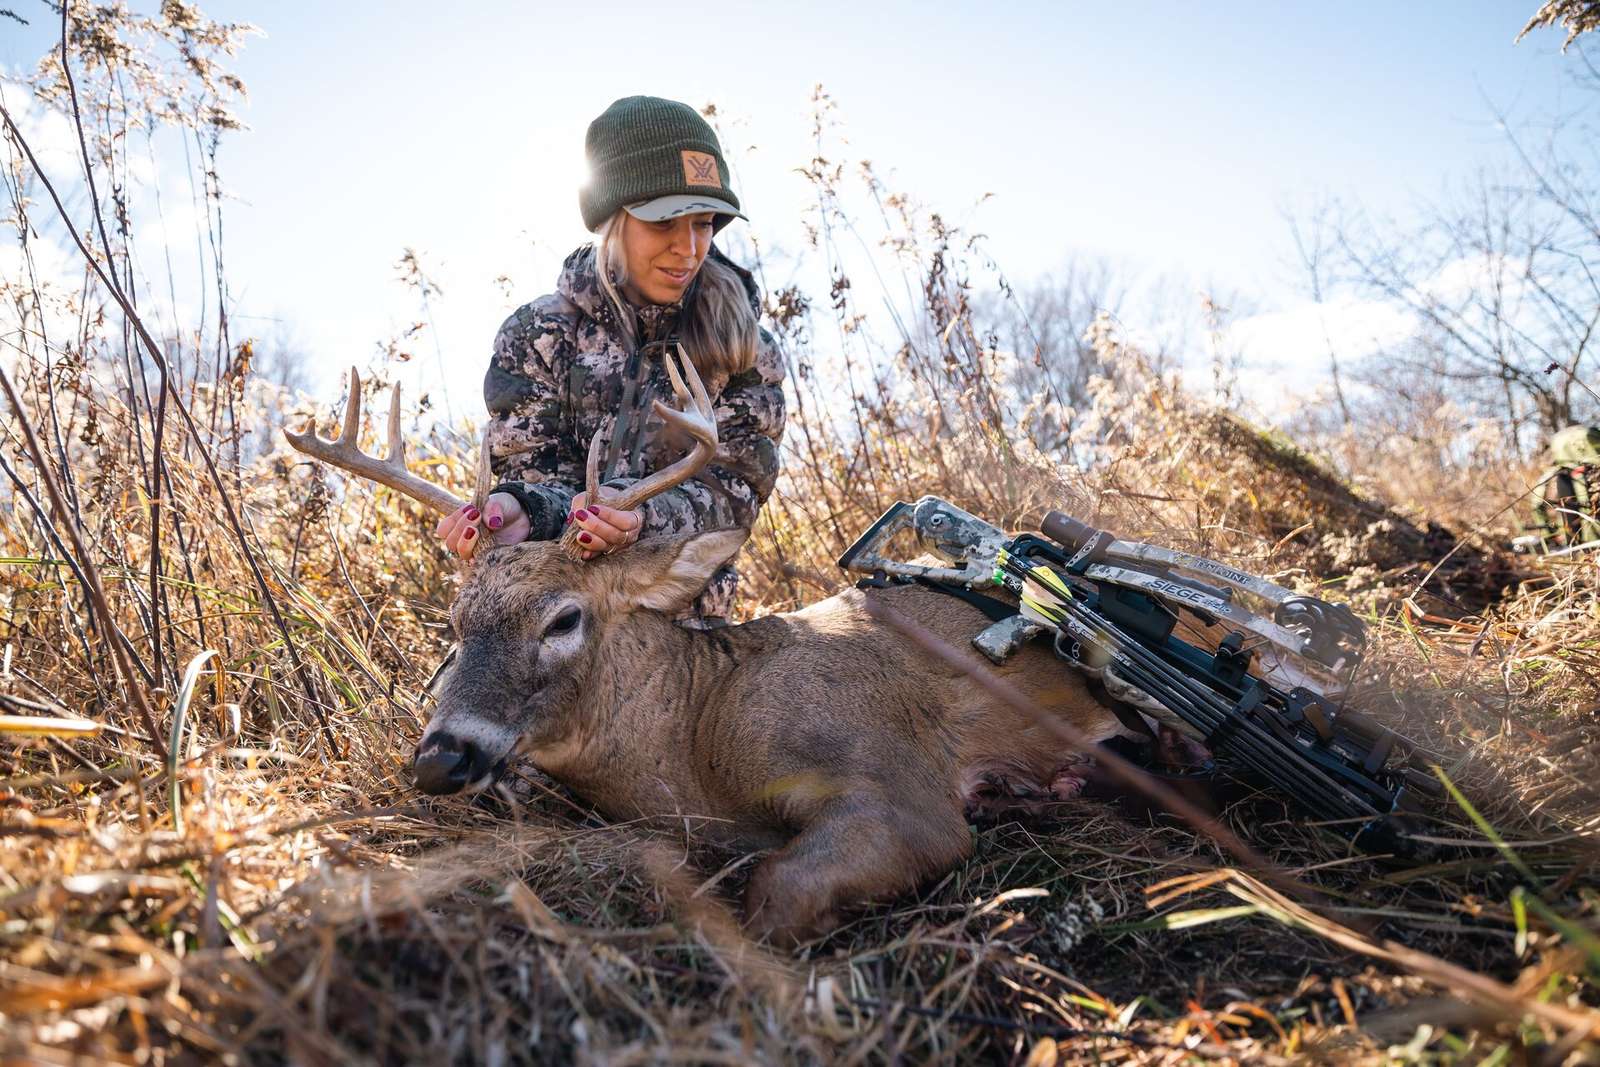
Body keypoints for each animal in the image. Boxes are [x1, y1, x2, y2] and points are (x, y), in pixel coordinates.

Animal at [284, 352, 1145, 945]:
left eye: (563, 618)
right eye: (457, 621)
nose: (440, 757)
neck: (701, 735)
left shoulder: (899, 784)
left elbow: (777, 889)